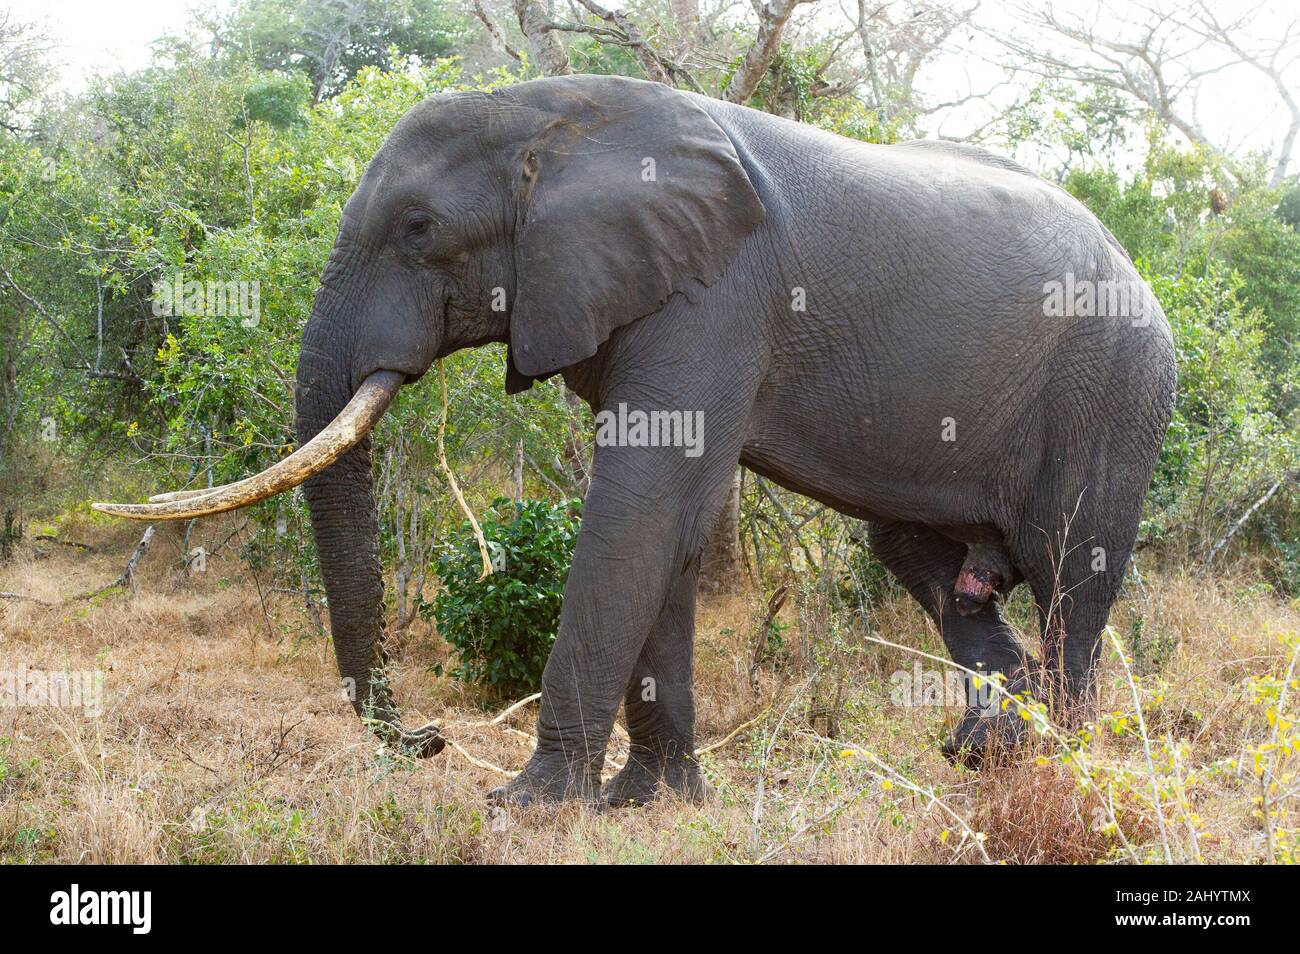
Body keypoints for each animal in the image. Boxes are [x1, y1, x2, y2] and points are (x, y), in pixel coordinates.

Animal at [96, 73, 1177, 807]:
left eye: (417, 229)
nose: (431, 738)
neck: (550, 117)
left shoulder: (713, 295)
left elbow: (639, 508)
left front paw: (528, 808)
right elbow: (674, 526)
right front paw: (644, 805)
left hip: (1115, 385)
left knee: (1073, 568)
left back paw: (1054, 764)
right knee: (928, 563)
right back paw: (983, 752)